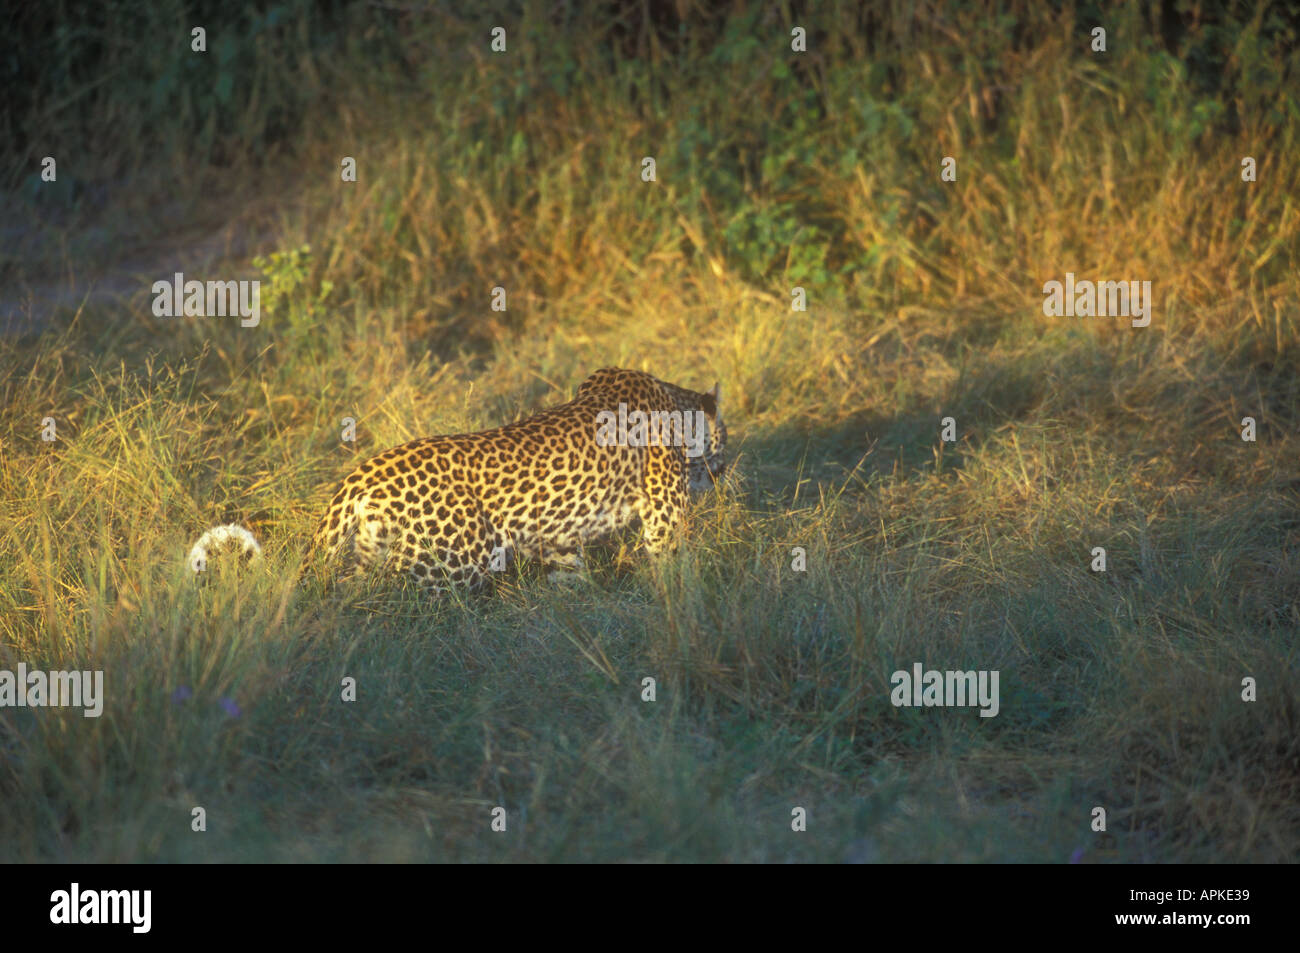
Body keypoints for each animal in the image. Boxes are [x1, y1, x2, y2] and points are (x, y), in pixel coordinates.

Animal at [188, 368, 726, 593]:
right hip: (456, 560)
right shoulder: (663, 516)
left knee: (352, 585)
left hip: (377, 548)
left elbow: (568, 568)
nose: (724, 470)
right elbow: (674, 562)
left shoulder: (558, 535)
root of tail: (363, 472)